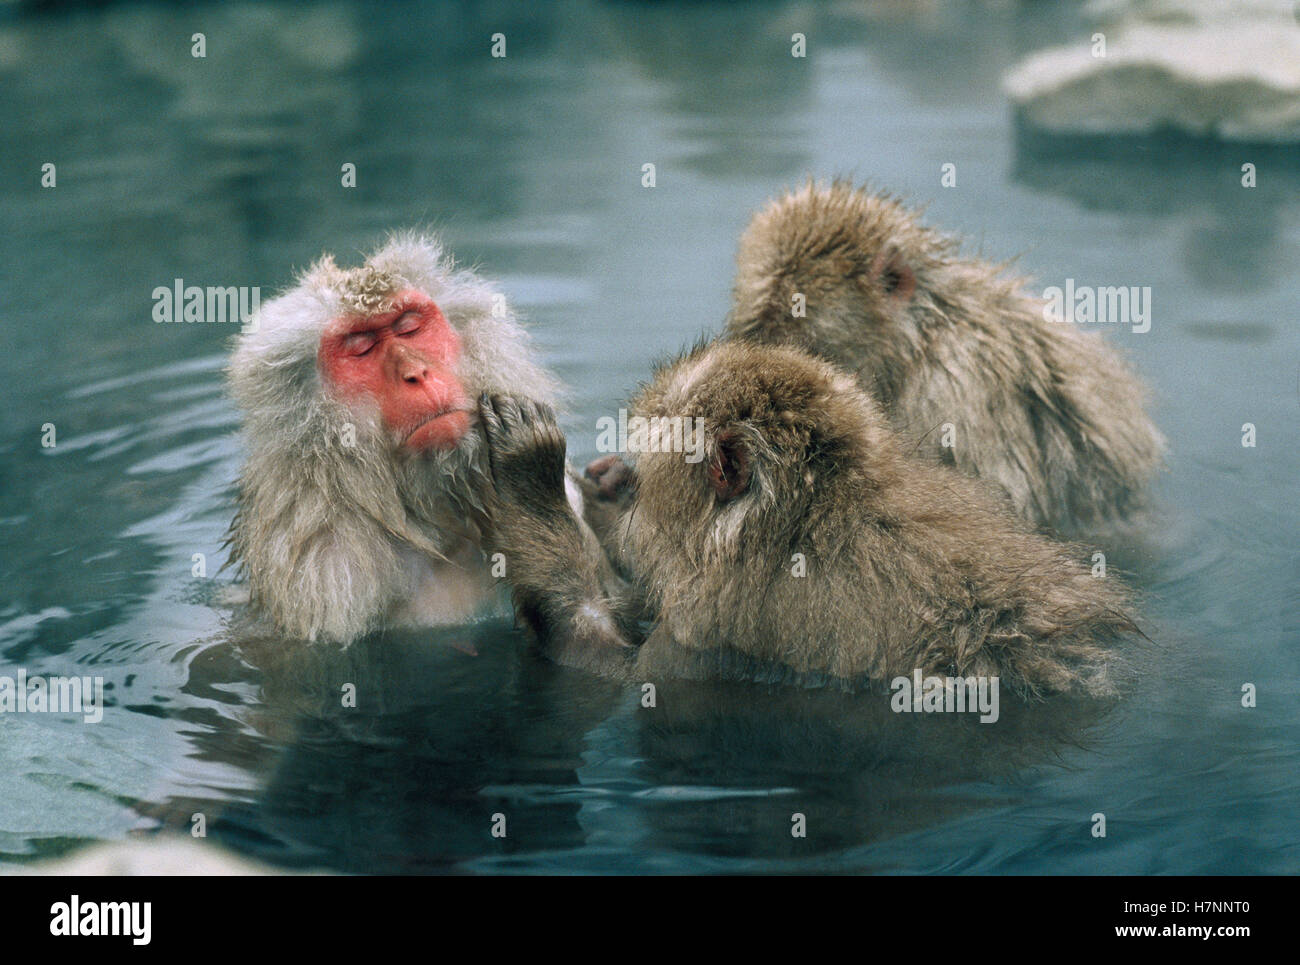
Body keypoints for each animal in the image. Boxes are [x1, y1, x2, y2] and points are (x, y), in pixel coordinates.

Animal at [478, 339, 1142, 698]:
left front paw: (533, 478)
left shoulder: (727, 617)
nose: (613, 476)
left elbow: (617, 673)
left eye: (645, 479)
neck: (805, 525)